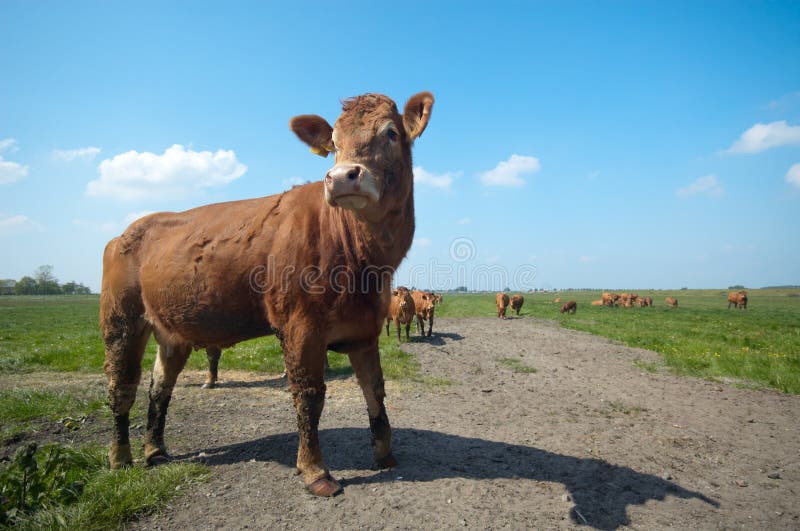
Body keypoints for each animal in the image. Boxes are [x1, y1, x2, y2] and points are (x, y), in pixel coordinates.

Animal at [100, 91, 434, 497]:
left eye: (390, 133)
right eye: (333, 143)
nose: (340, 177)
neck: (360, 257)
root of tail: (129, 229)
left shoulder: (365, 328)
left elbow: (375, 390)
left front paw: (385, 454)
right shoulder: (300, 326)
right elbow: (309, 395)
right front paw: (315, 470)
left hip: (171, 332)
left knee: (159, 387)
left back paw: (156, 450)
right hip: (122, 320)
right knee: (122, 386)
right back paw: (120, 458)